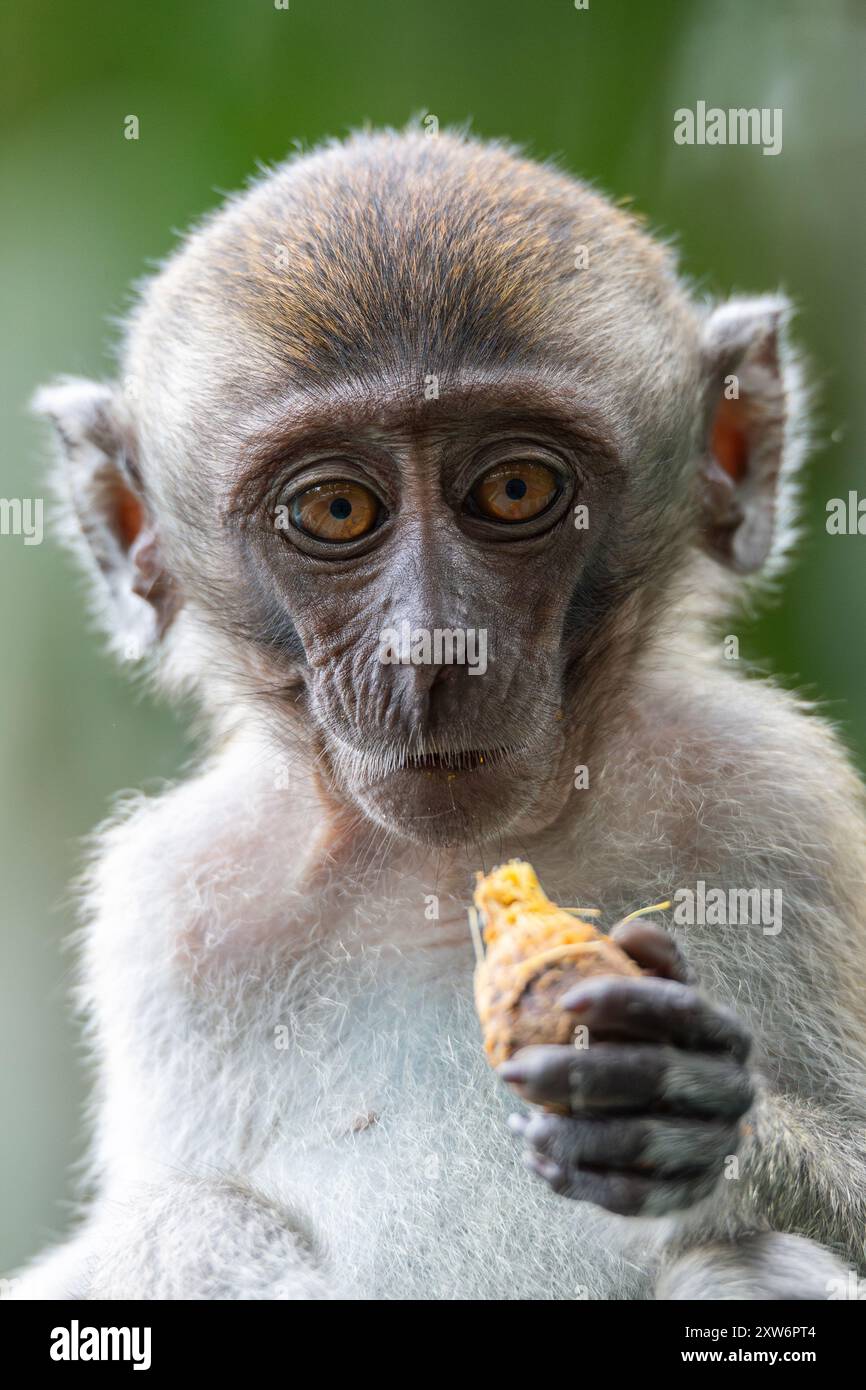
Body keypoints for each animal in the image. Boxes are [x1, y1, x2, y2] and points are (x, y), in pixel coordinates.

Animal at [10, 127, 866, 1301]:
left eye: (513, 490)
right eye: (336, 509)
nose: (431, 653)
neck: (448, 869)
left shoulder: (780, 800)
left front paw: (696, 1117)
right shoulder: (172, 910)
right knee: (191, 1221)